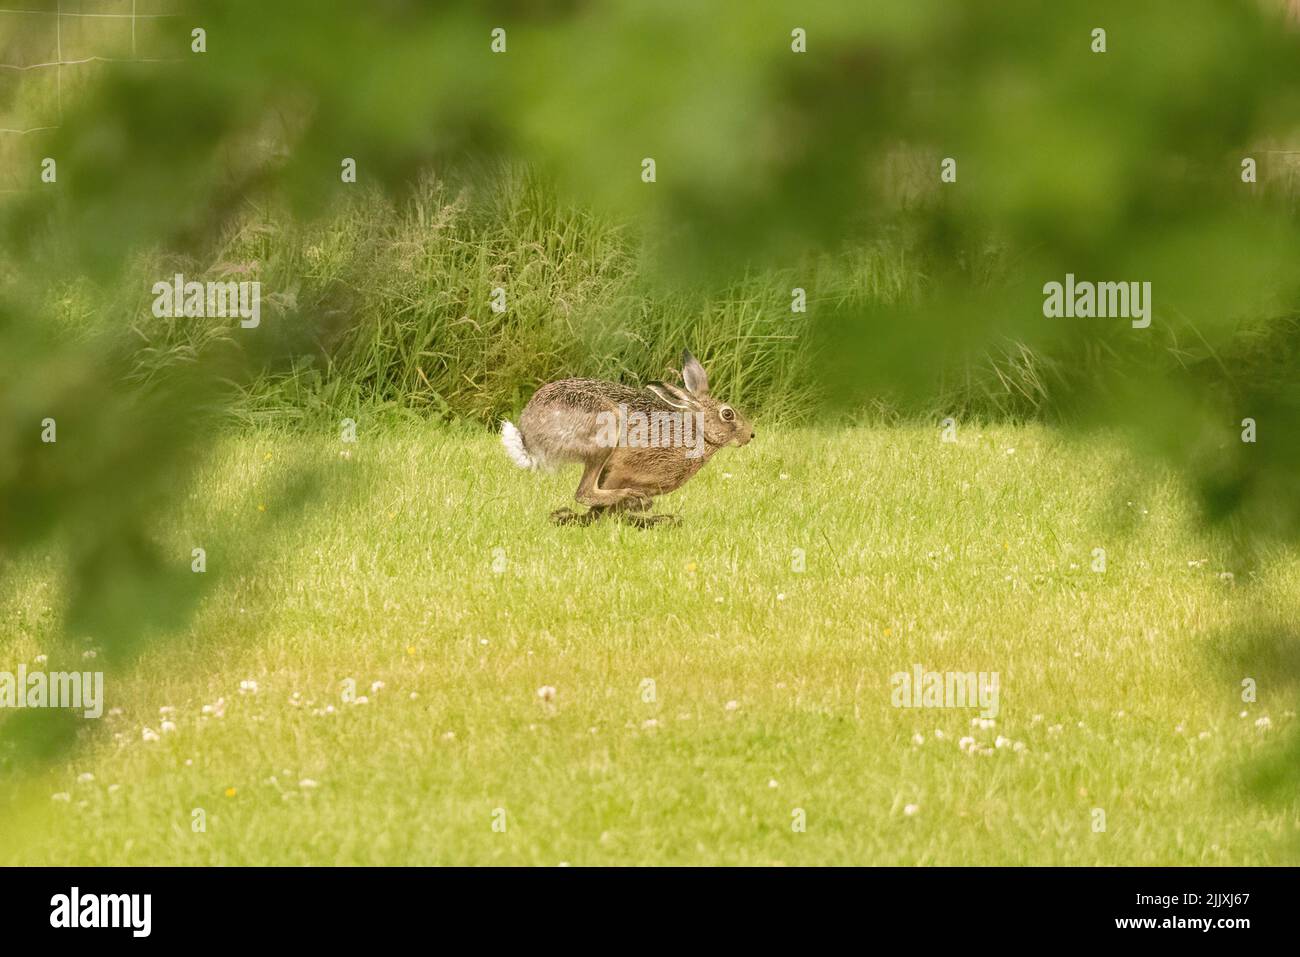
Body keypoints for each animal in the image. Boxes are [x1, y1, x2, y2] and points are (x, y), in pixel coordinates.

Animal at [501, 350, 754, 525]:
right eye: (727, 414)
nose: (750, 435)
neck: (697, 432)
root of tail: (529, 434)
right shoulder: (623, 470)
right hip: (604, 435)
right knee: (584, 492)